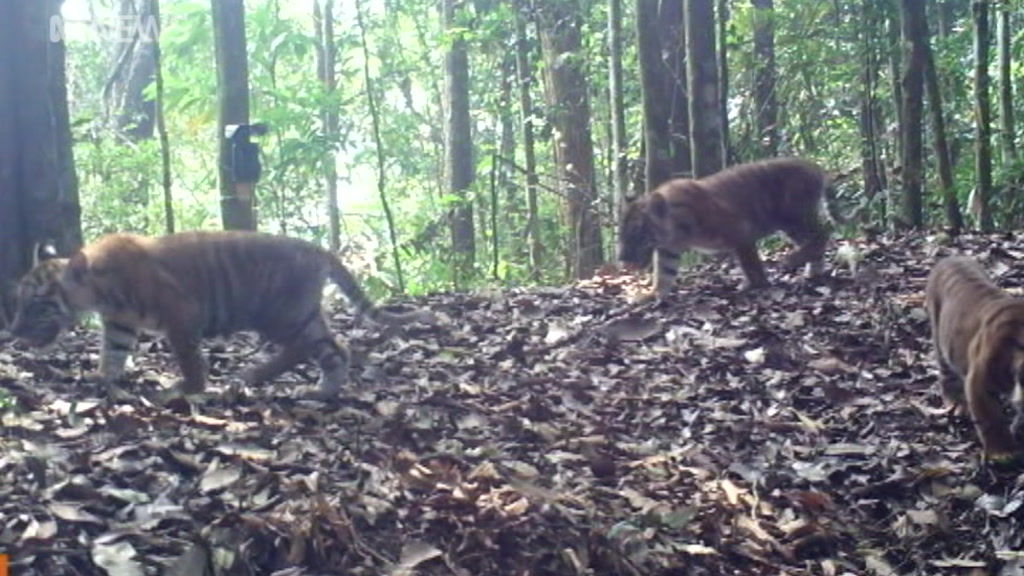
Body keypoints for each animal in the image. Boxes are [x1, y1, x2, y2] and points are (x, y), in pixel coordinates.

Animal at [8, 231, 432, 399]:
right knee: (336, 348)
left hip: (281, 316)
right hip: (300, 317)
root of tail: (318, 249)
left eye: (37, 302)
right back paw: (322, 390)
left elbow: (189, 360)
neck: (99, 291)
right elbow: (111, 356)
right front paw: (101, 381)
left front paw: (185, 390)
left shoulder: (180, 317)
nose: (11, 332)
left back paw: (252, 377)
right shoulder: (120, 325)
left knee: (305, 350)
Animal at [618, 157, 848, 297]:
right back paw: (813, 271)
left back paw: (792, 260)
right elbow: (664, 273)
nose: (622, 258)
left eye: (637, 232)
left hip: (793, 217)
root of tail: (813, 166)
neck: (674, 229)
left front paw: (757, 285)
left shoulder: (741, 231)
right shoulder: (668, 250)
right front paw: (652, 296)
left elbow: (750, 263)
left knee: (822, 234)